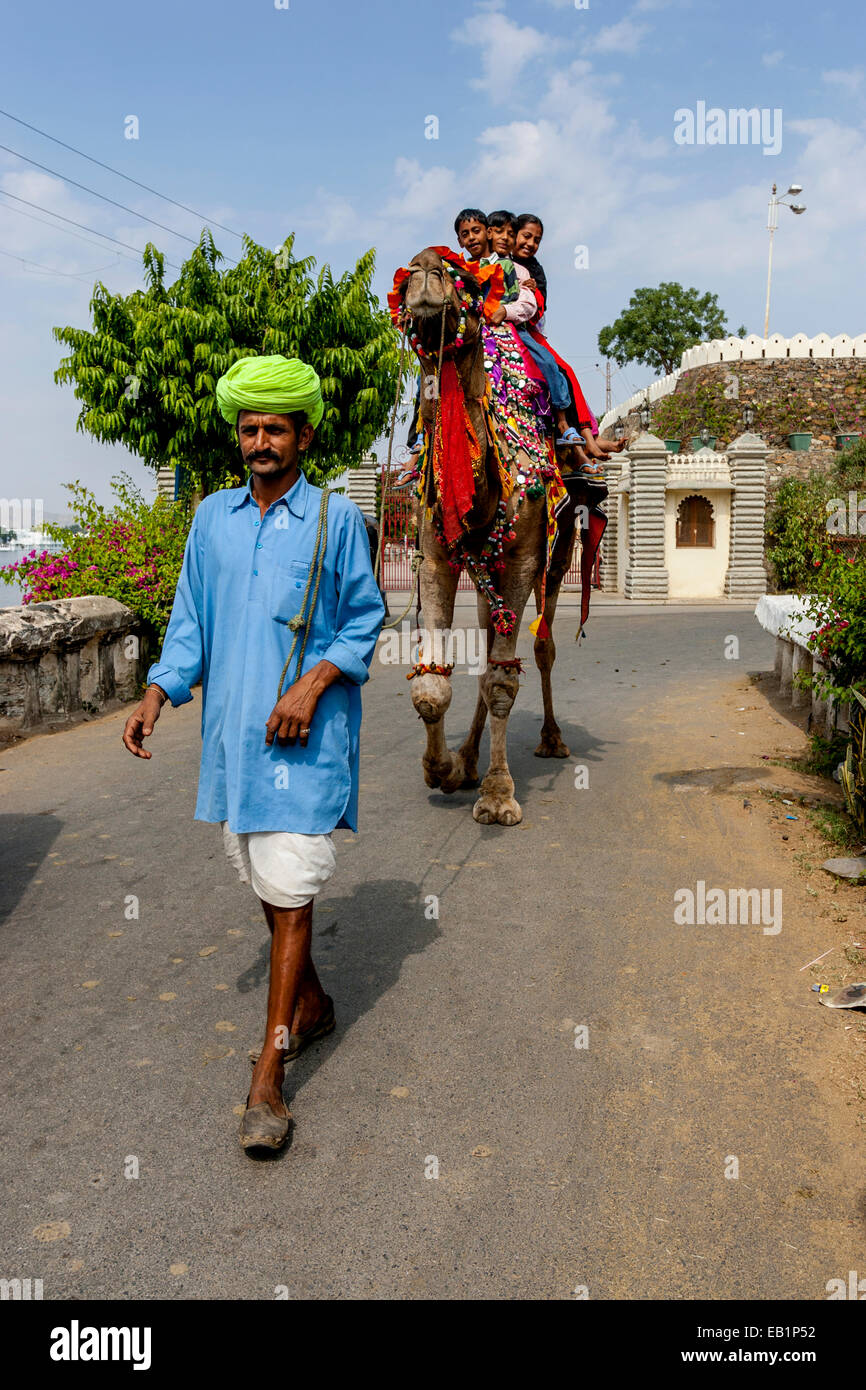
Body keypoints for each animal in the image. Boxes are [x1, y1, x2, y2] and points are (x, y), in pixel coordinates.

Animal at [391, 246, 603, 827]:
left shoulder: (525, 556)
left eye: (463, 278)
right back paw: (466, 760)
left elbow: (505, 680)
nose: (424, 271)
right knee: (489, 644)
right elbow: (432, 685)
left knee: (543, 644)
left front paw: (498, 795)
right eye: (402, 276)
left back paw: (551, 740)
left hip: (560, 551)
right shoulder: (436, 554)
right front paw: (441, 769)